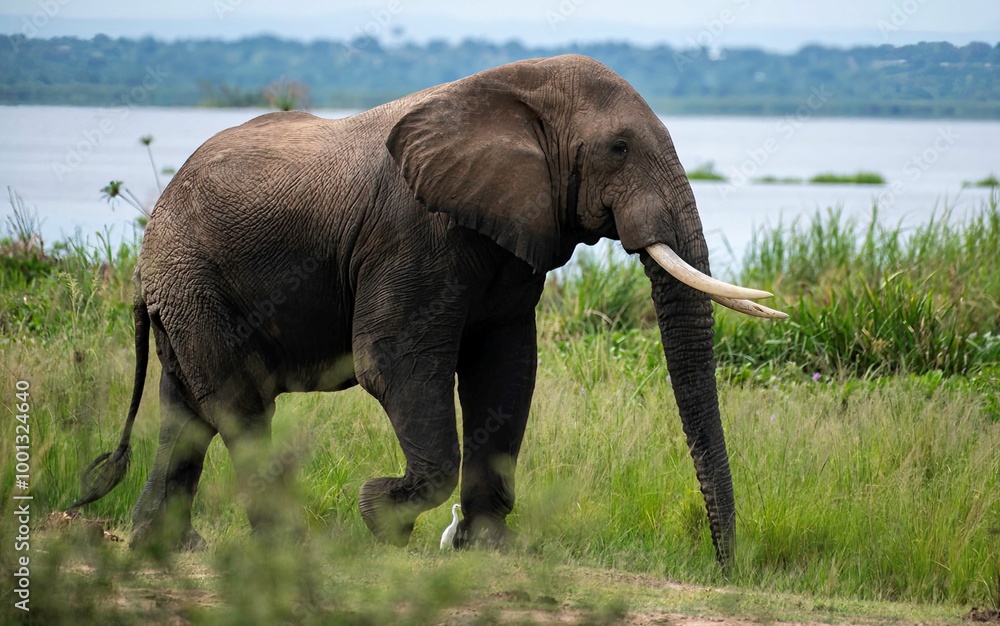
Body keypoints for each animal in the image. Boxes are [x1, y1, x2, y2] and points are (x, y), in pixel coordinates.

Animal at [72, 54, 784, 569]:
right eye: (618, 149)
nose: (726, 570)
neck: (515, 90)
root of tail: (148, 247)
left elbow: (506, 370)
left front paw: (484, 549)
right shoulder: (413, 234)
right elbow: (394, 364)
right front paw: (380, 517)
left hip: (188, 294)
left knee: (185, 411)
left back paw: (162, 548)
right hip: (195, 280)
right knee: (239, 406)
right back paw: (282, 549)